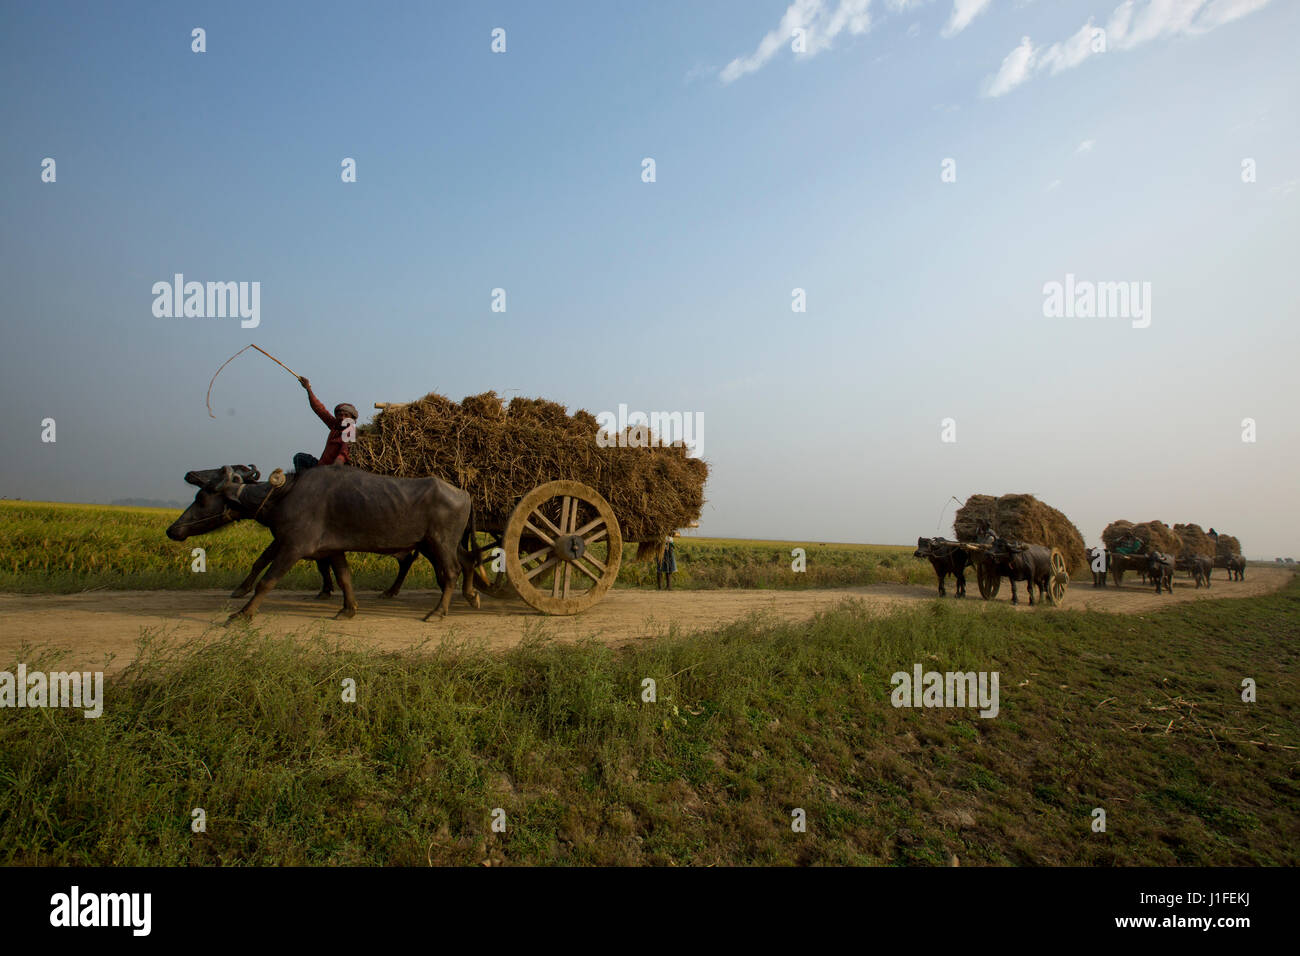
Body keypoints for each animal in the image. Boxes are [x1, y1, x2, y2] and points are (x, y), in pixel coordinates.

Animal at [169, 464, 479, 622]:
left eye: (202, 497)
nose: (173, 530)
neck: (284, 495)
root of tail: (464, 493)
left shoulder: (292, 547)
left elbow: (267, 581)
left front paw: (242, 613)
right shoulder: (333, 549)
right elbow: (344, 578)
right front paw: (348, 609)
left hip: (440, 543)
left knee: (451, 572)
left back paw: (437, 612)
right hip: (433, 544)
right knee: (463, 563)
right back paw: (468, 596)